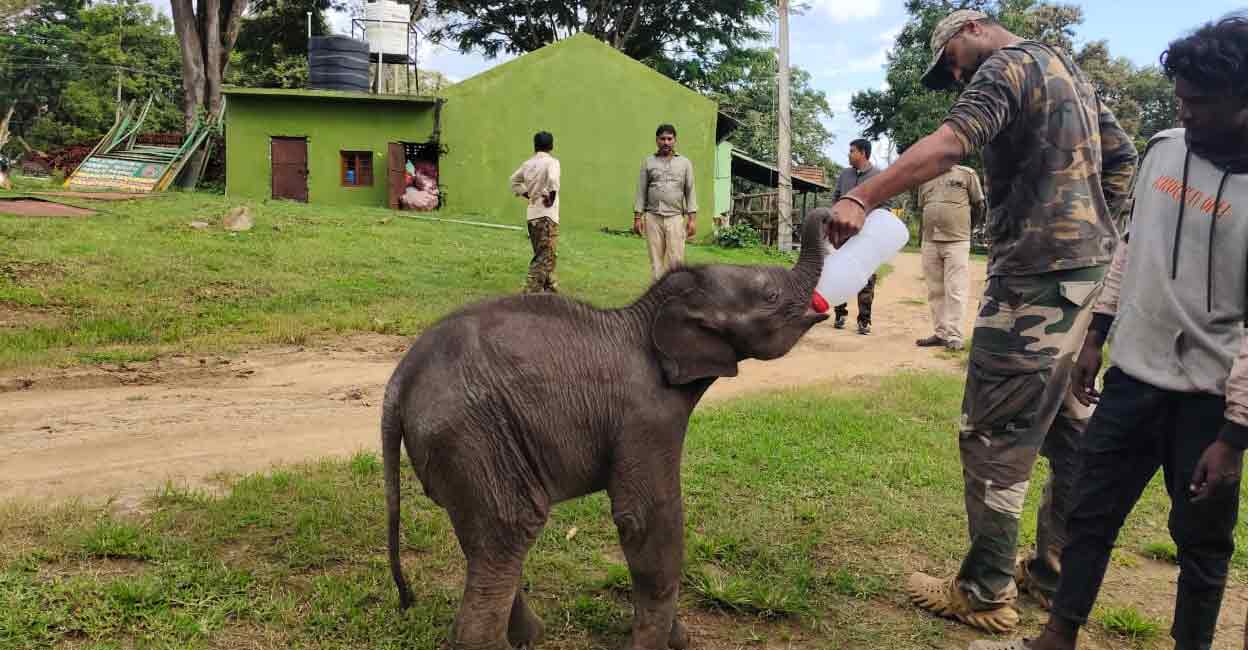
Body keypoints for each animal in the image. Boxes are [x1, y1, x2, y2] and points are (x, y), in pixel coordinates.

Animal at [383, 209, 833, 650]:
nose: (829, 215)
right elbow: (649, 521)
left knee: (485, 542)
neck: (647, 315)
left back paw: (532, 636)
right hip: (476, 436)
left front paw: (678, 637)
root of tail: (400, 381)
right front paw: (664, 644)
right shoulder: (647, 416)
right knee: (512, 527)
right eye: (770, 296)